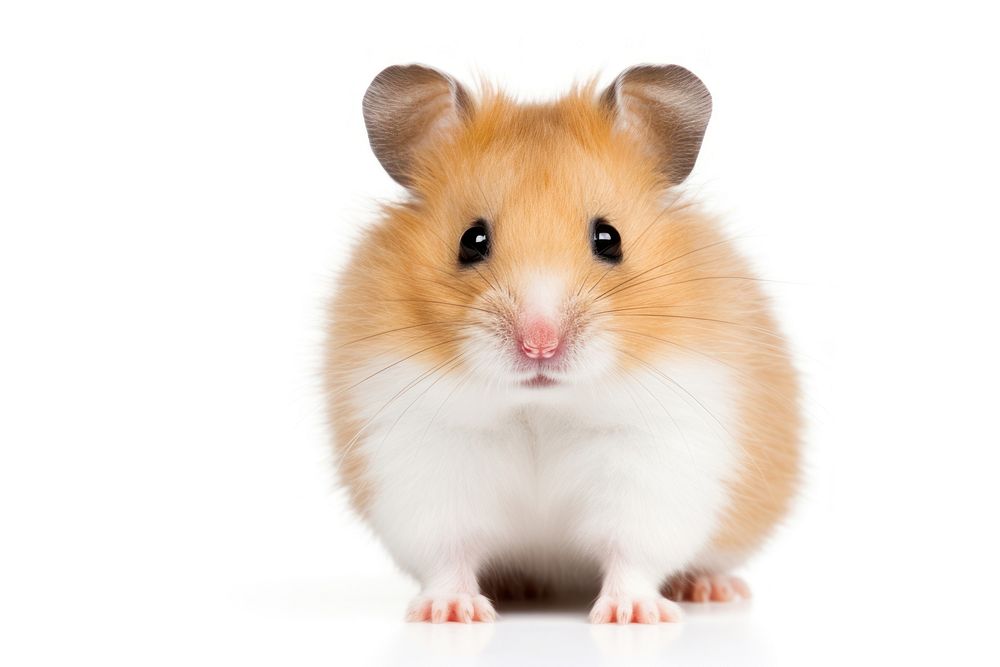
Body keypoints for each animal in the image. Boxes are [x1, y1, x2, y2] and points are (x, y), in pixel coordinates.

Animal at [325, 64, 801, 624]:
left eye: (609, 238)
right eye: (471, 240)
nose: (539, 346)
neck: (538, 407)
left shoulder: (656, 459)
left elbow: (631, 551)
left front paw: (632, 616)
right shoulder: (423, 458)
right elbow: (449, 552)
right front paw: (450, 612)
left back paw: (709, 589)